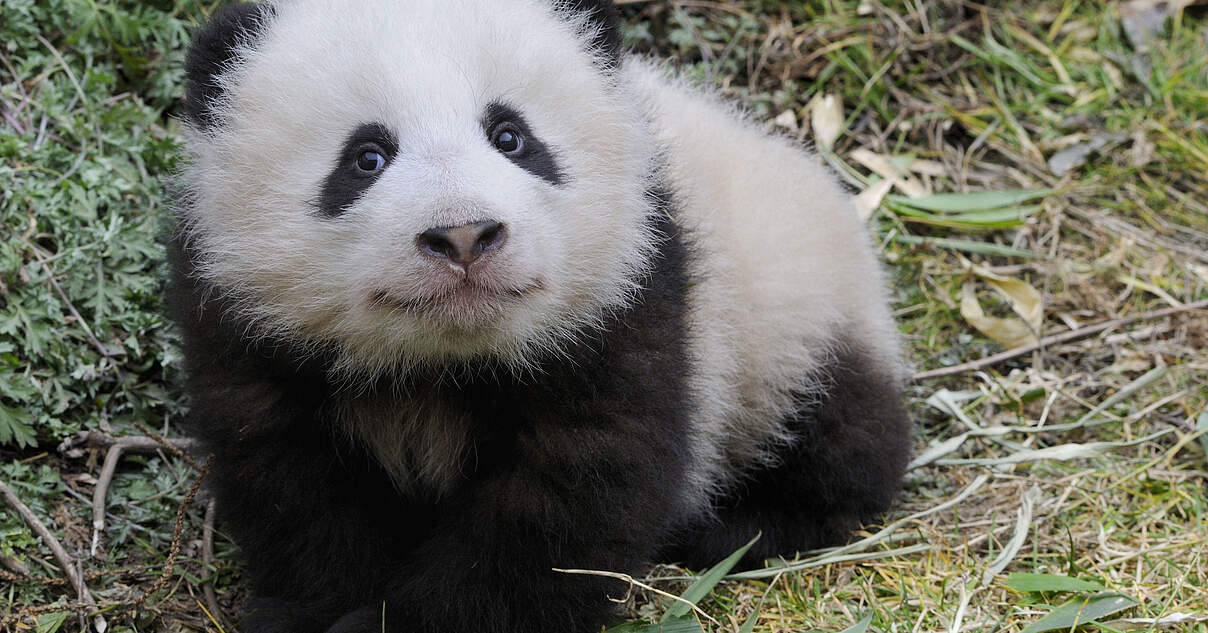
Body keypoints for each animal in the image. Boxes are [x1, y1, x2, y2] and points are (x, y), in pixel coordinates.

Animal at [169, 0, 911, 631]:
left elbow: (567, 498)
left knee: (838, 441)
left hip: (792, 315)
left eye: (511, 136)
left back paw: (733, 525)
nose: (464, 235)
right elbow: (295, 487)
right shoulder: (246, 327)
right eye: (366, 157)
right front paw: (318, 609)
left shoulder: (630, 297)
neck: (442, 360)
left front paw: (410, 620)